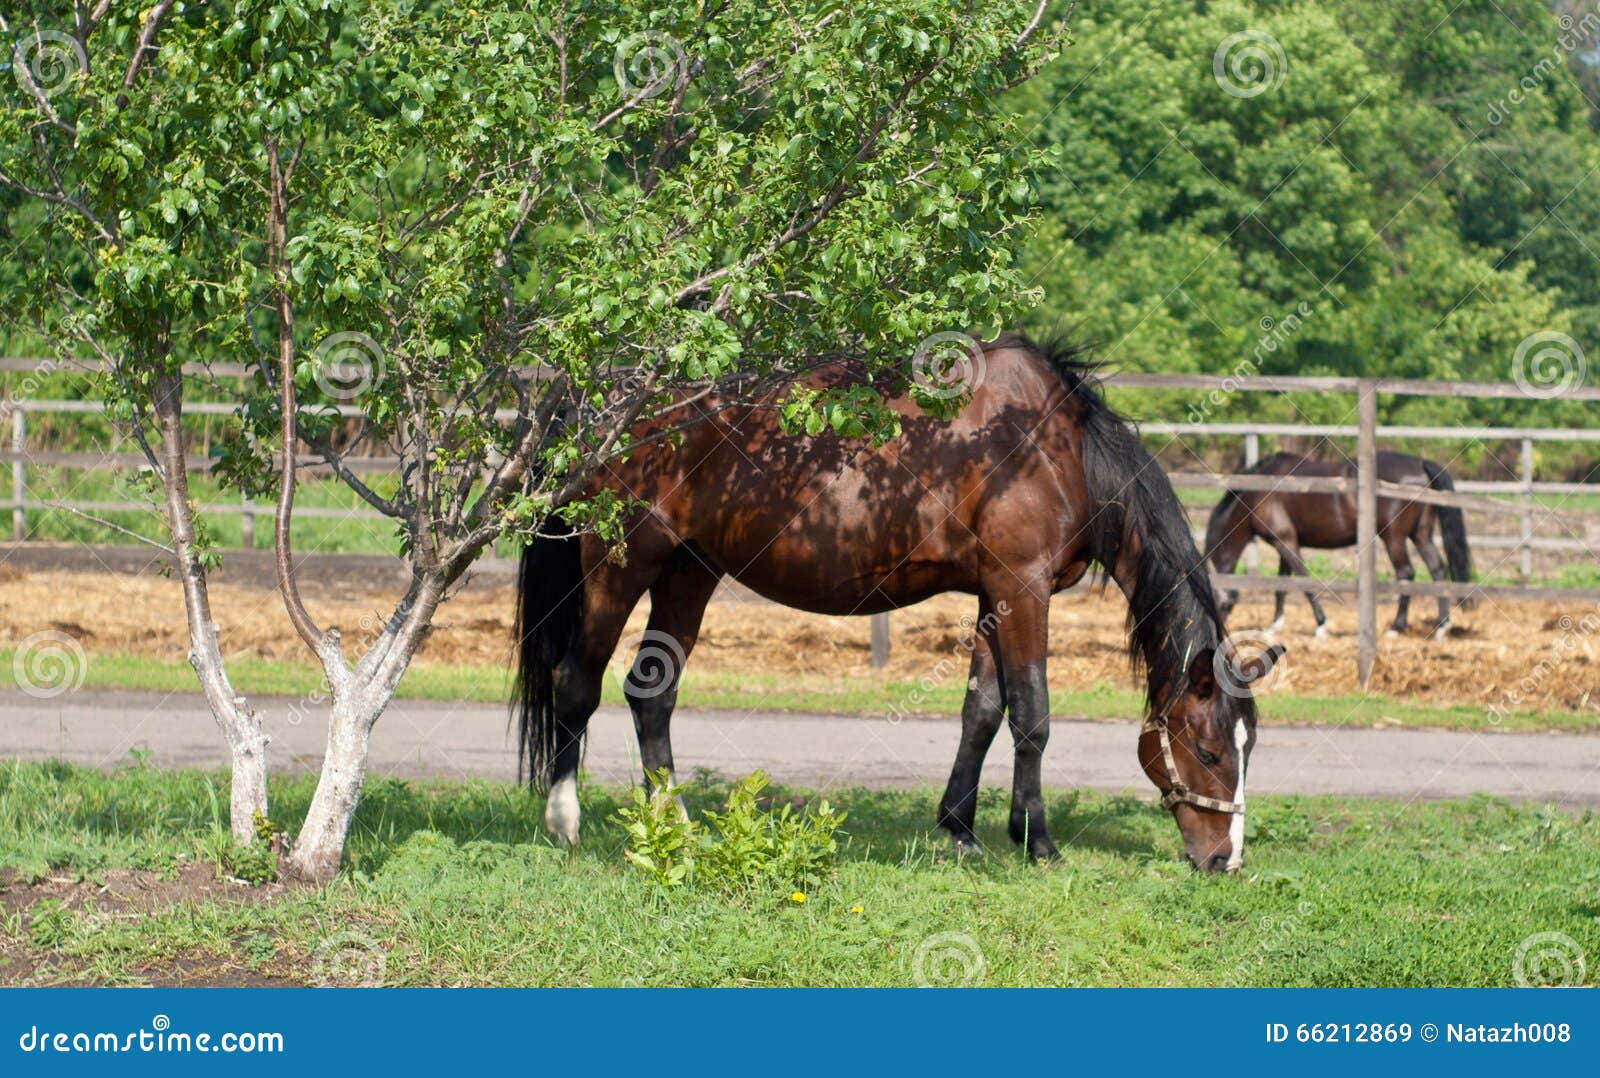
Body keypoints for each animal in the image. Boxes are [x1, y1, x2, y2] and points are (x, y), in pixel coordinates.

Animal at [514, 334, 1282, 871]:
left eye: (1251, 748)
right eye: (1210, 749)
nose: (1225, 861)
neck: (1052, 448)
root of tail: (605, 405)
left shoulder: (994, 594)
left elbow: (983, 712)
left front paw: (963, 831)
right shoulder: (1022, 587)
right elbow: (1032, 716)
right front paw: (1036, 842)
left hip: (688, 572)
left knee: (651, 693)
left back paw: (670, 824)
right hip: (621, 559)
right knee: (576, 681)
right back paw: (564, 823)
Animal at [1204, 451, 1473, 639]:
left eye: (1220, 604)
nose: (1218, 634)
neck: (1256, 494)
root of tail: (1419, 464)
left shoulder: (1286, 541)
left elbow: (1304, 582)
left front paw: (1321, 624)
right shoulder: (1285, 542)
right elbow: (1282, 585)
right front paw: (1274, 626)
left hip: (1394, 537)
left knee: (1406, 573)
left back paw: (1396, 628)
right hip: (1421, 535)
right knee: (1438, 569)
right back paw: (1441, 626)